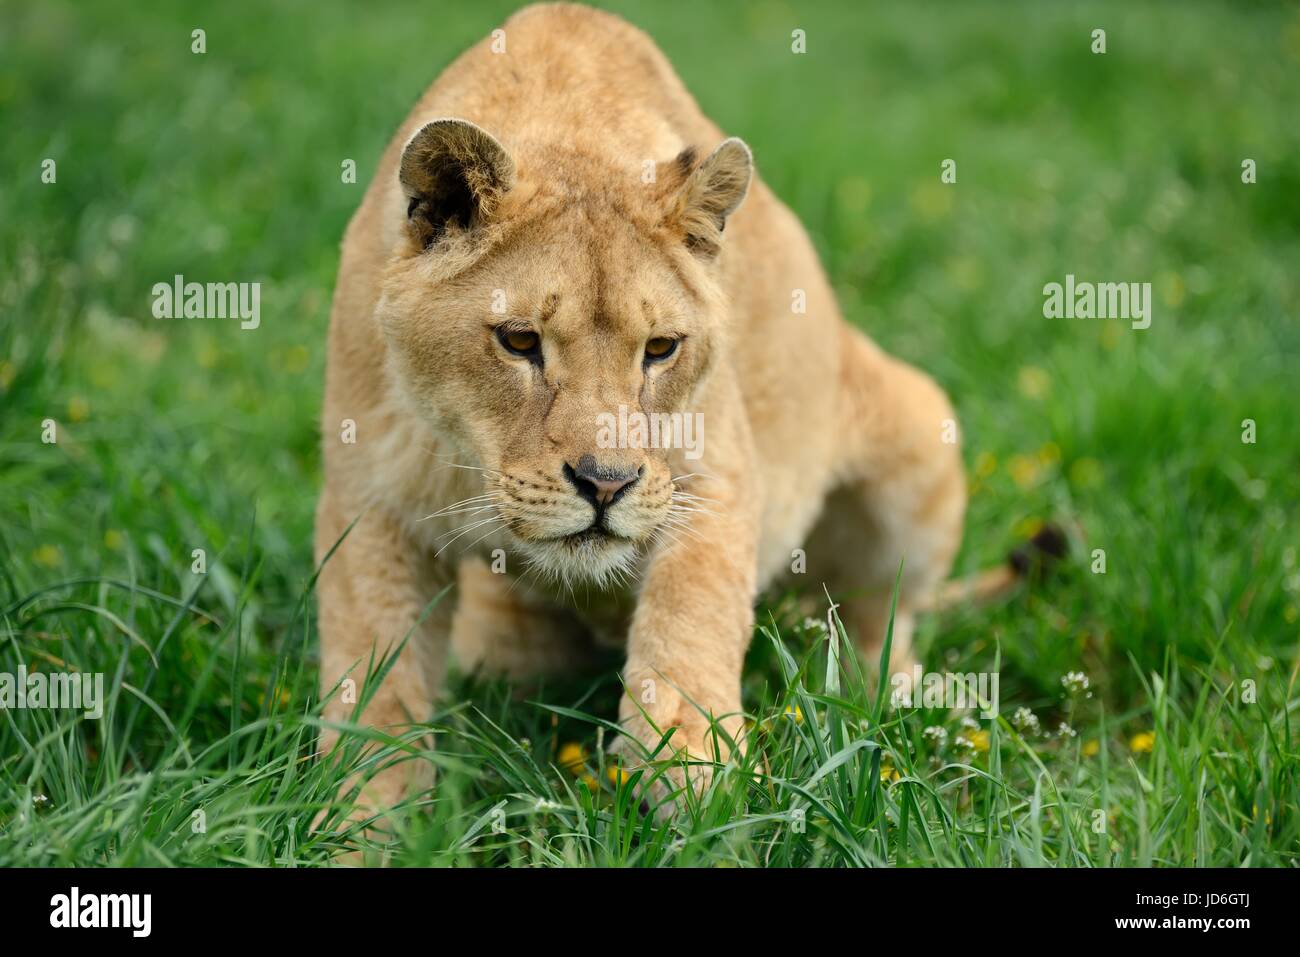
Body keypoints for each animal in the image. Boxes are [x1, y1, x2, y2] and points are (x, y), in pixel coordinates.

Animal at [314, 3, 1034, 830]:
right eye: (519, 341)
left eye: (660, 348)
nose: (605, 485)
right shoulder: (369, 498)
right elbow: (374, 680)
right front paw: (360, 820)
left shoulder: (714, 471)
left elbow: (689, 619)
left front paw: (696, 782)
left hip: (917, 433)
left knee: (878, 621)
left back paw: (900, 700)